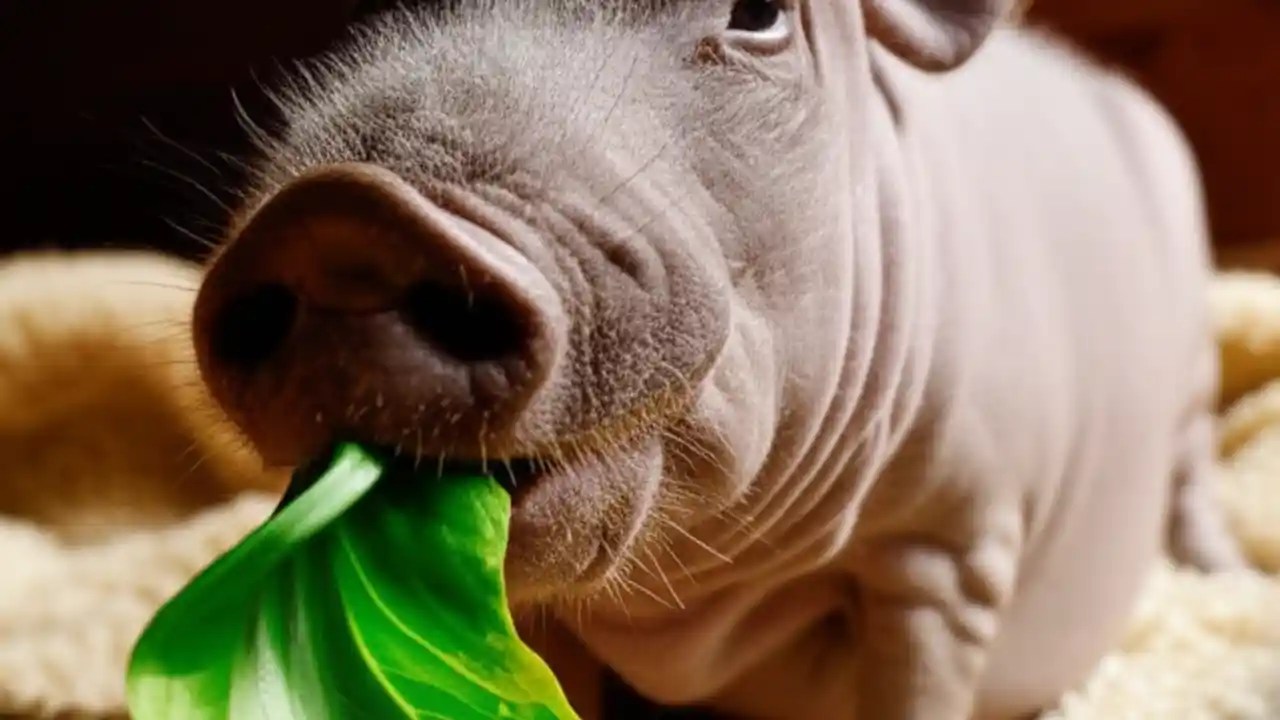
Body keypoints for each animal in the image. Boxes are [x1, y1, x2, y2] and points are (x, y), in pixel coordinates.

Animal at [190, 0, 1245, 718]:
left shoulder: (954, 539)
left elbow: (916, 687)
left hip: (1195, 343)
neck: (696, 598)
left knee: (1195, 463)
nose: (340, 222)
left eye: (757, 13)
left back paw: (1225, 577)